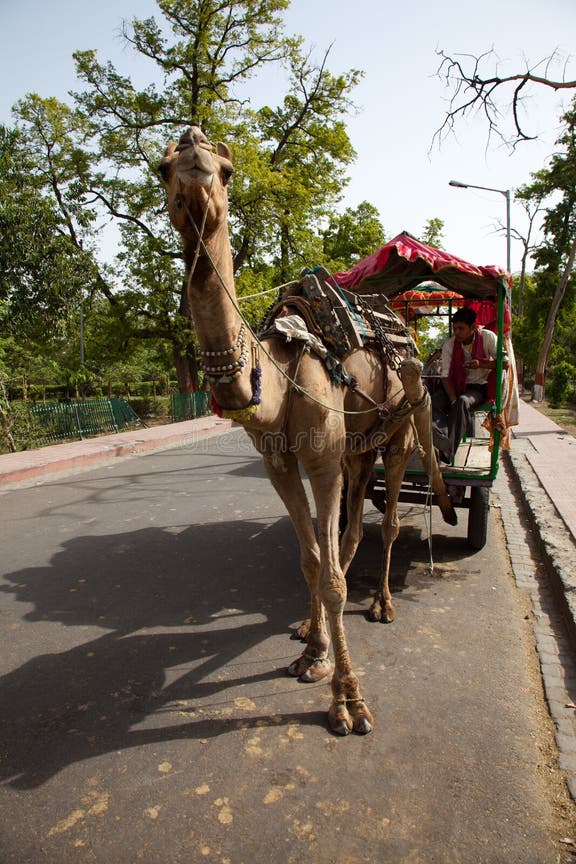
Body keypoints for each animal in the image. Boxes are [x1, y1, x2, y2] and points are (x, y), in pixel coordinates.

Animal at [159, 126, 456, 735]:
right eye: (162, 167)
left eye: (227, 168)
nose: (194, 151)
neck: (276, 372)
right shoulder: (280, 461)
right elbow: (312, 558)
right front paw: (311, 653)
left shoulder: (320, 458)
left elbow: (334, 573)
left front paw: (348, 701)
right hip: (358, 446)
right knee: (350, 528)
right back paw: (312, 626)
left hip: (400, 433)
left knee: (389, 521)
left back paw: (383, 604)